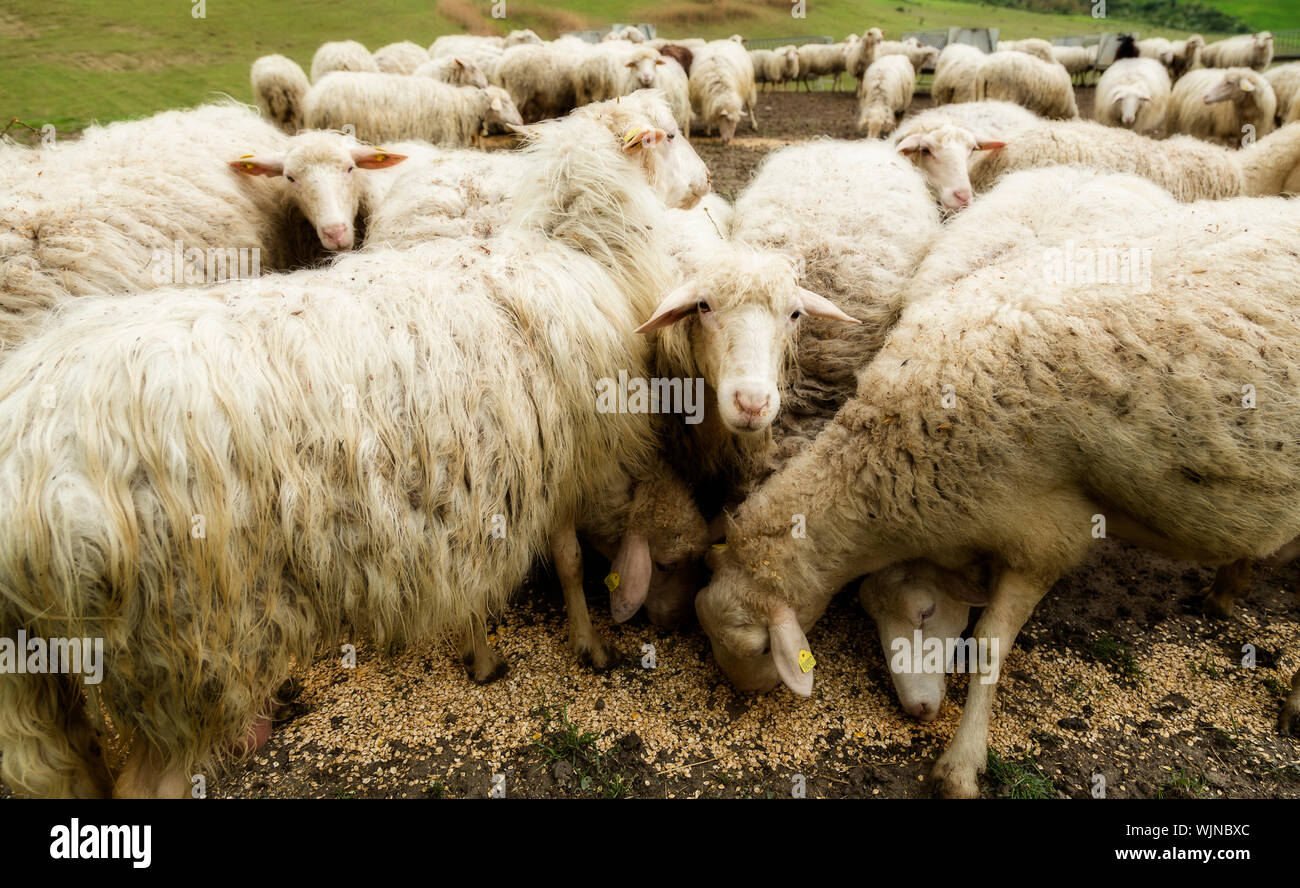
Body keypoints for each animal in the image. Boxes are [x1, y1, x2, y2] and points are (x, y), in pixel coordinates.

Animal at [696, 166, 1300, 797]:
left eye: (926, 613)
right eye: (870, 616)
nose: (917, 713)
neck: (899, 447)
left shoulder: (1047, 534)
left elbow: (987, 647)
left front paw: (961, 764)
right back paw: (1230, 585)